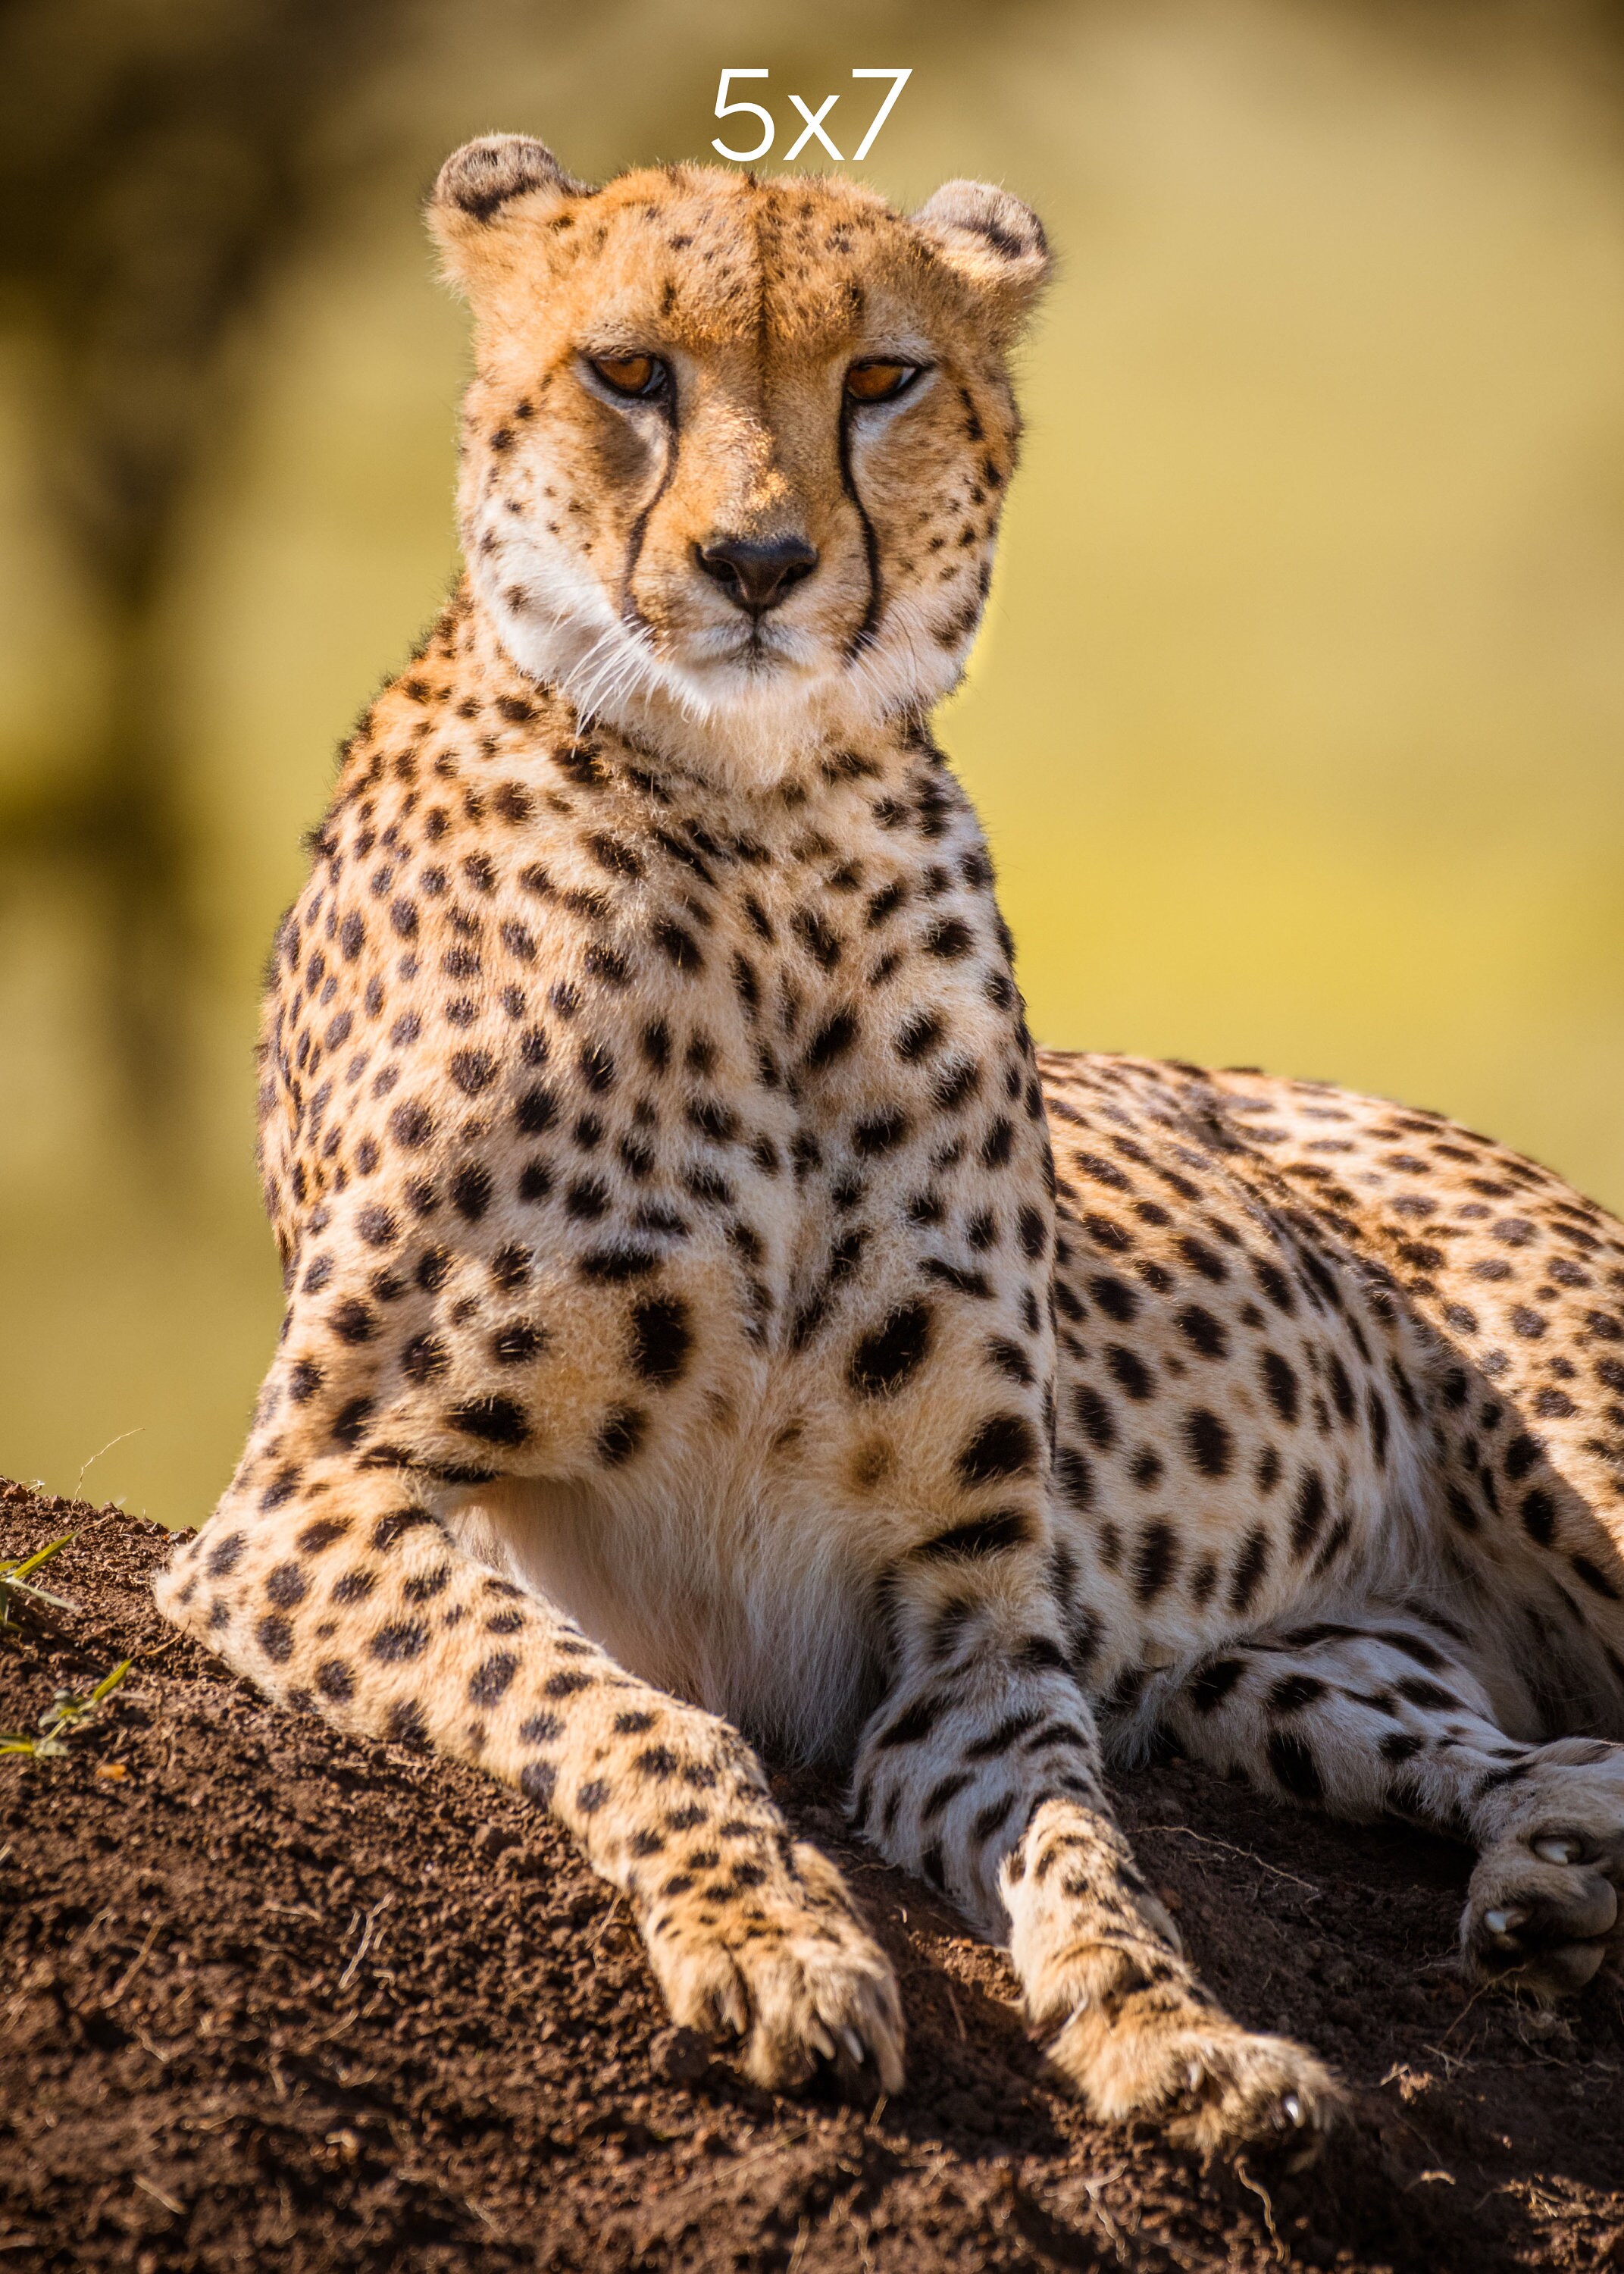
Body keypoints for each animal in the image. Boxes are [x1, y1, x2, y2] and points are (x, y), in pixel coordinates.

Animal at [155, 134, 1624, 2160]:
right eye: (630, 371)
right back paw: (1551, 1864)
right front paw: (776, 1946)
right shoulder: (309, 1501)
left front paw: (1174, 2035)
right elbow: (630, 1710)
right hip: (1287, 1672)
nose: (760, 565)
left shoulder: (972, 1627)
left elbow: (1088, 1853)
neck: (767, 837)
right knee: (1543, 1743)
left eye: (881, 381)